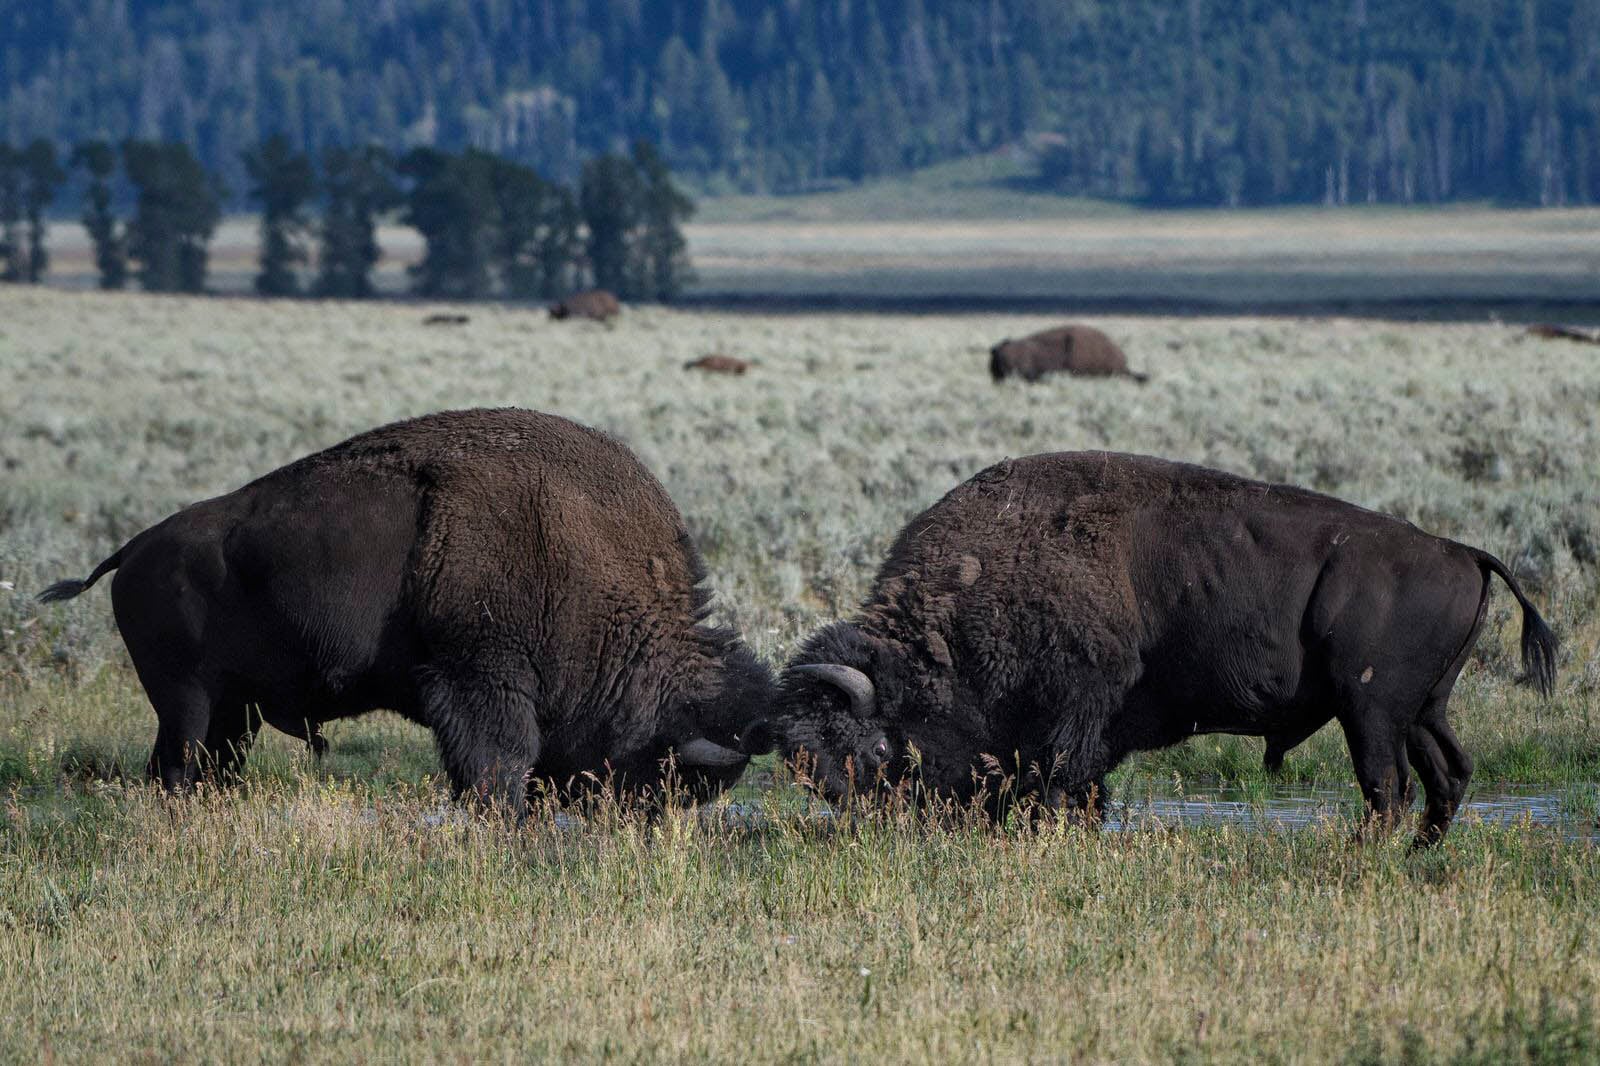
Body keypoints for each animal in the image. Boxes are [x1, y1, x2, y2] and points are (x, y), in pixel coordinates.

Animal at [38, 408, 772, 811]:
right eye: (664, 774)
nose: (638, 827)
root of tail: (133, 549)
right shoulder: (479, 683)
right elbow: (497, 766)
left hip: (232, 709)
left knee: (205, 766)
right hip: (187, 699)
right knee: (176, 765)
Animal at [771, 452, 1557, 846]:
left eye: (877, 749)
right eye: (810, 772)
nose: (880, 831)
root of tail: (1461, 550)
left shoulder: (1076, 711)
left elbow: (1061, 782)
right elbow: (1081, 786)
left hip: (1370, 710)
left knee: (1388, 788)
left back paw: (1356, 860)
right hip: (1423, 709)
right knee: (1446, 776)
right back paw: (1421, 858)